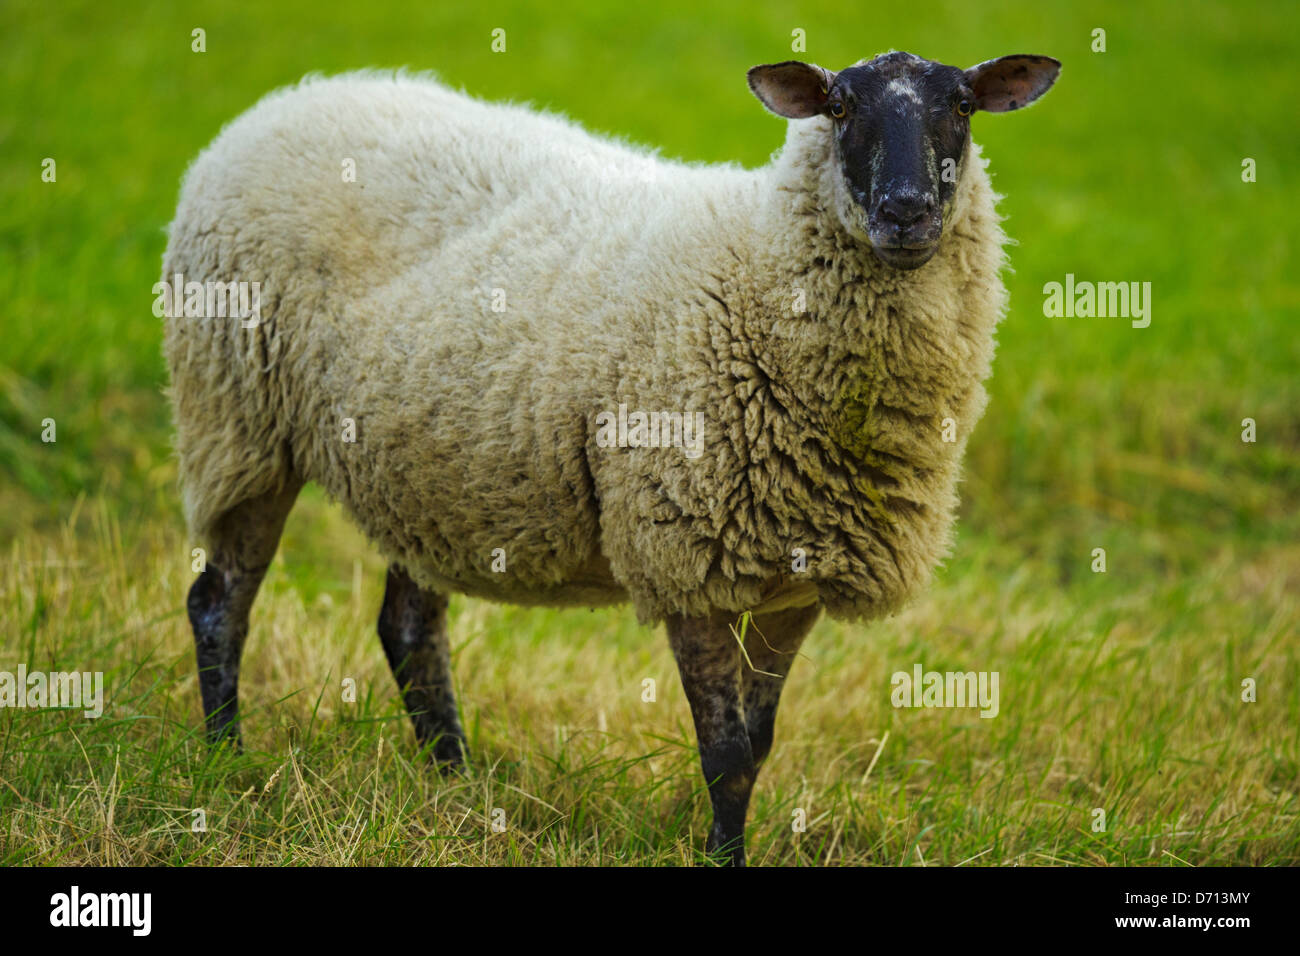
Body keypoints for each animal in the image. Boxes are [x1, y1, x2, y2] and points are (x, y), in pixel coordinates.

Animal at [163, 50, 1060, 866]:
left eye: (963, 106)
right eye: (838, 107)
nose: (907, 213)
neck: (758, 267)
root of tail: (290, 99)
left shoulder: (796, 581)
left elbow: (759, 743)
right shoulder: (685, 552)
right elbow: (726, 754)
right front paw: (721, 858)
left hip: (429, 464)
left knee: (408, 629)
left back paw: (456, 785)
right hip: (238, 419)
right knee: (220, 602)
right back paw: (225, 759)